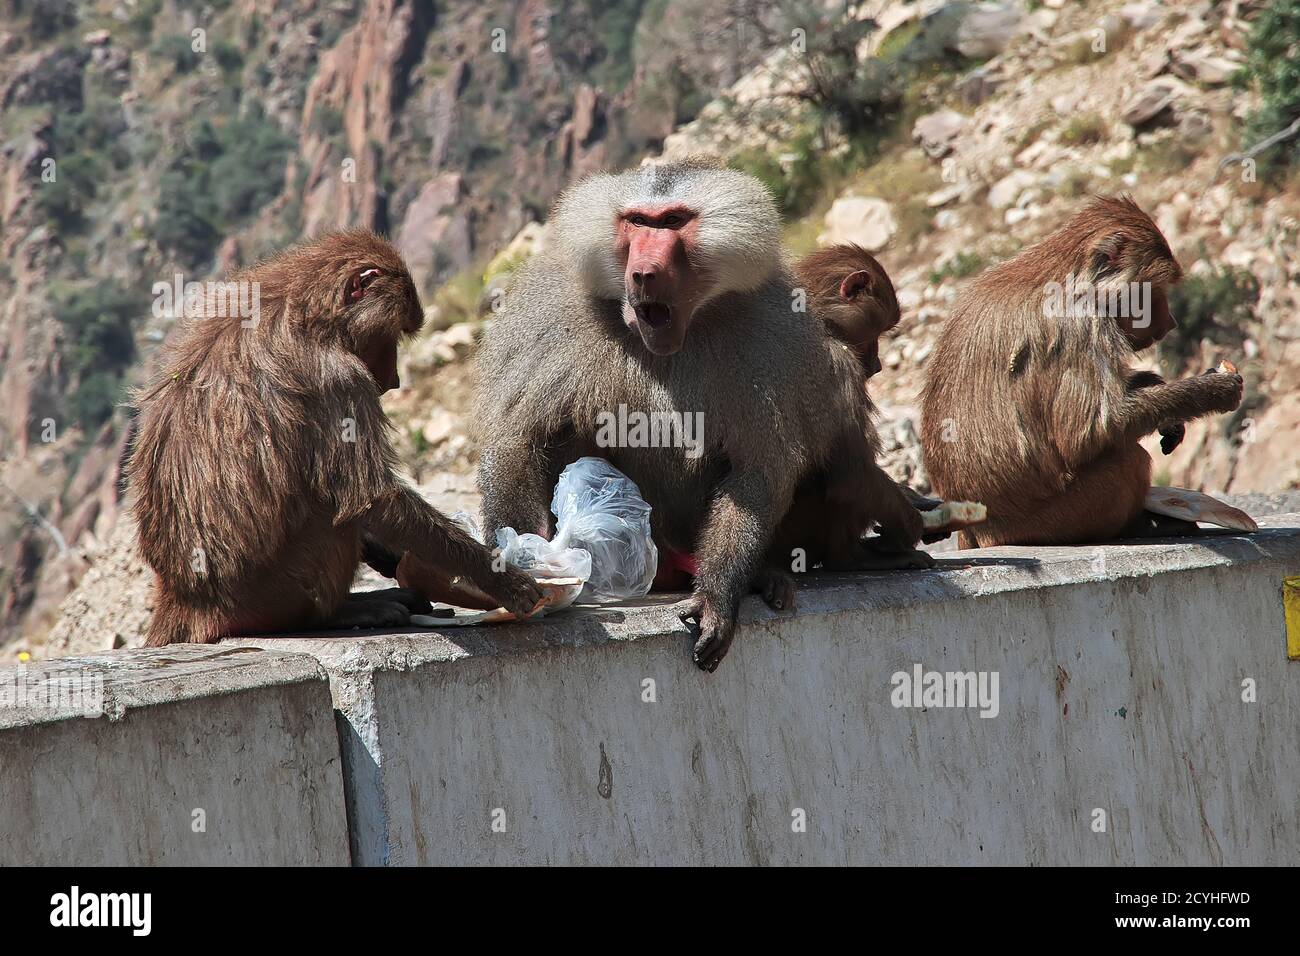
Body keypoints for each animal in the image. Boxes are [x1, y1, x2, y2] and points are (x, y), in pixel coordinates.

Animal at [129, 230, 542, 646]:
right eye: (395, 333)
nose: (393, 380)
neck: (306, 315)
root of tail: (188, 599)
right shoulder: (339, 379)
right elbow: (371, 498)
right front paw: (504, 581)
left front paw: (390, 554)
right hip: (274, 594)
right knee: (331, 513)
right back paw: (343, 612)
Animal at [473, 159, 925, 672]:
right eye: (637, 222)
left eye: (673, 221)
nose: (644, 273)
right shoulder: (548, 317)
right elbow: (518, 441)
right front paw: (522, 567)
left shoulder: (775, 336)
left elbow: (758, 471)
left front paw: (716, 596)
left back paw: (762, 576)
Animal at [919, 196, 1244, 548]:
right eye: (1154, 288)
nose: (1170, 322)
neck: (1070, 277)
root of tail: (978, 529)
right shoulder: (1079, 324)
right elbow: (1091, 432)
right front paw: (1214, 390)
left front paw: (1155, 389)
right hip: (1052, 520)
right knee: (1127, 458)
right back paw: (1143, 525)